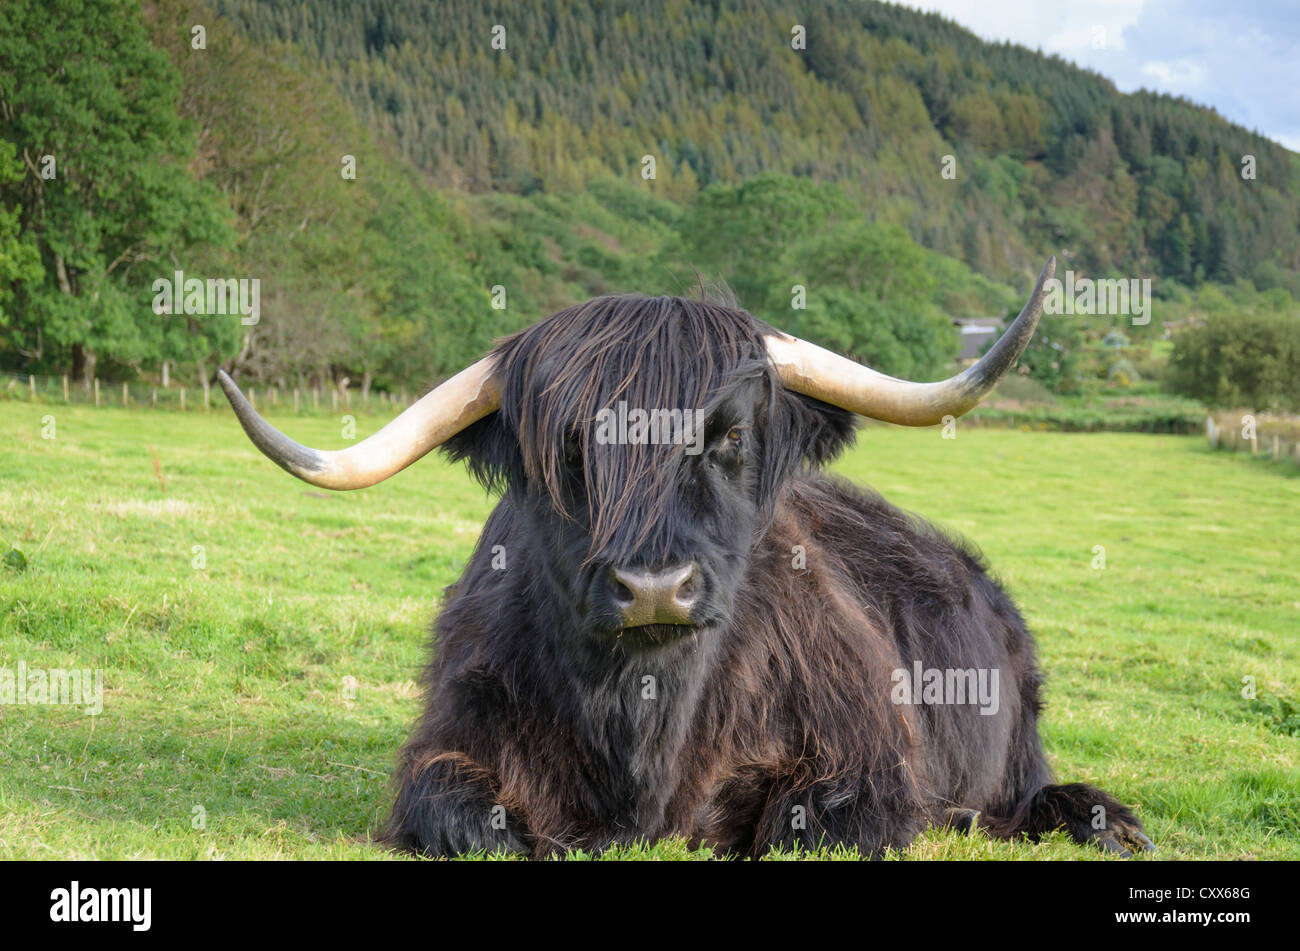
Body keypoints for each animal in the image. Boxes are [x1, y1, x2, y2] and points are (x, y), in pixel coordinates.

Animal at [218, 256, 1153, 859]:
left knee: (1031, 794)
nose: (653, 587)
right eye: (569, 447)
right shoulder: (450, 745)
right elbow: (466, 820)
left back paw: (1105, 821)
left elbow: (806, 828)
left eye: (729, 435)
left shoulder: (867, 766)